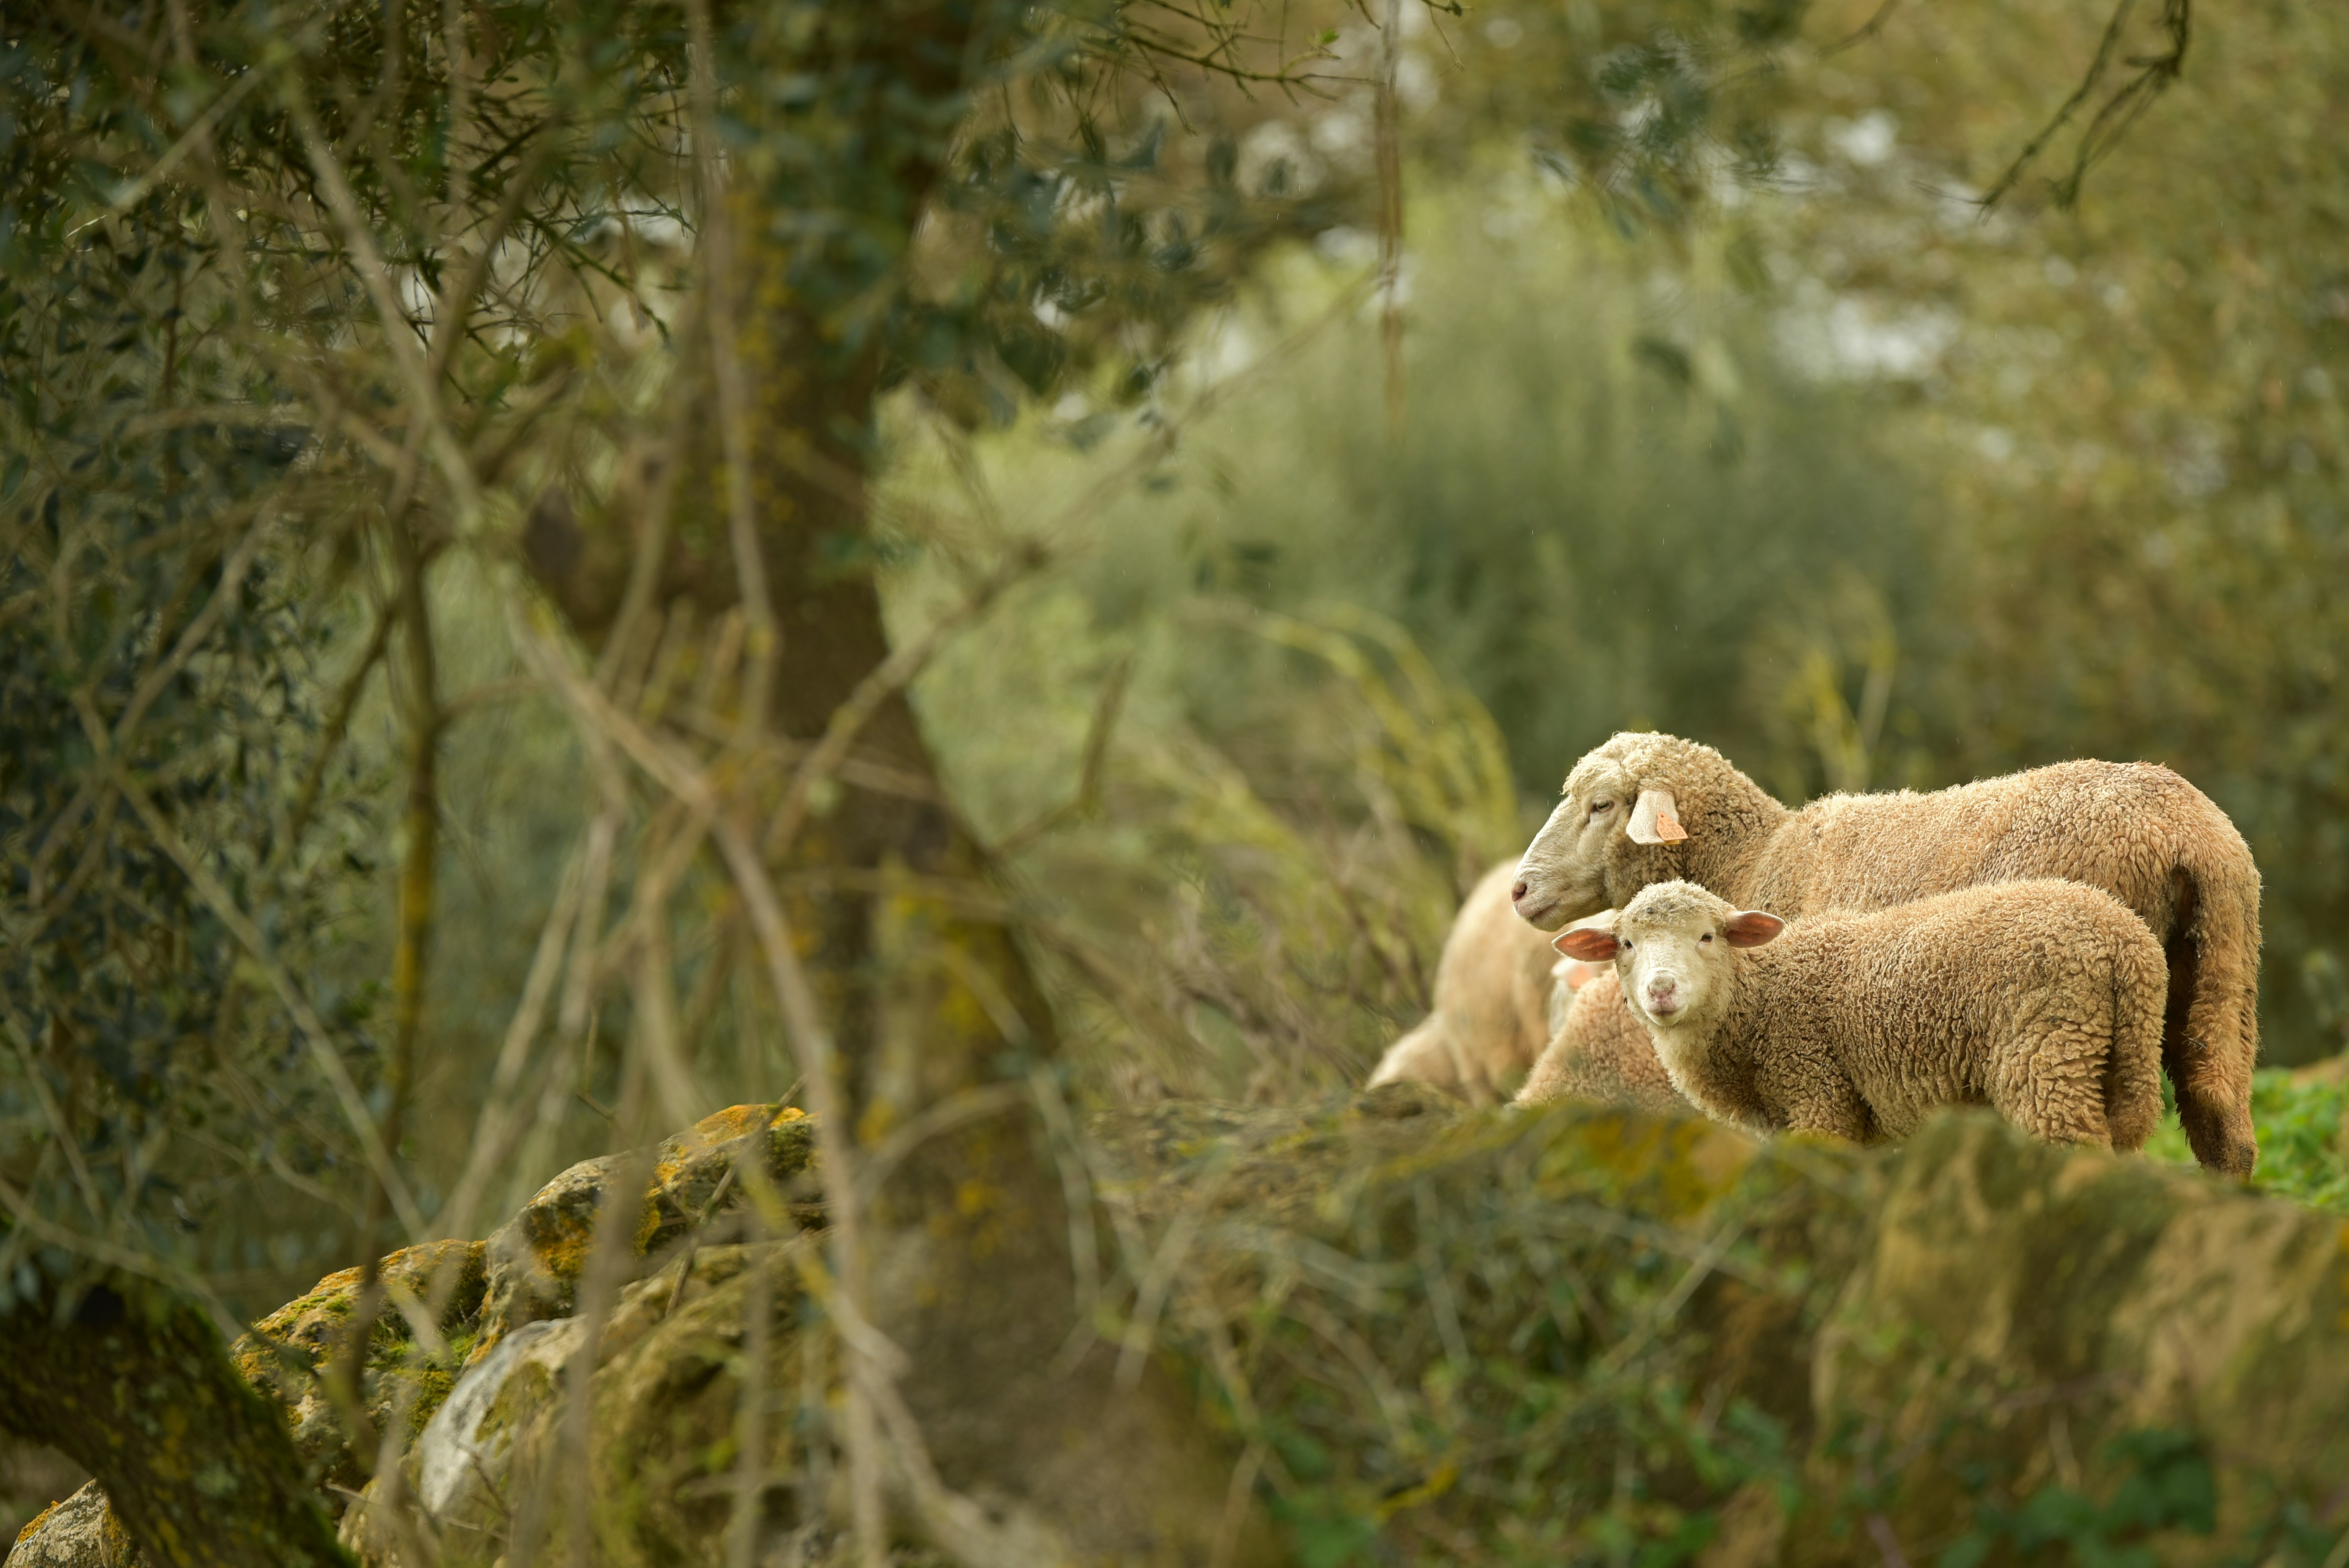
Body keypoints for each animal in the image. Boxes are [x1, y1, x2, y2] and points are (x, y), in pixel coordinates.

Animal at [1552, 879, 2167, 1150]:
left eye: (1707, 937)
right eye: (1626, 944)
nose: (1661, 990)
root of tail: (2124, 936)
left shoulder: (1817, 1090)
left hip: (2045, 1049)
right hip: (2121, 1060)